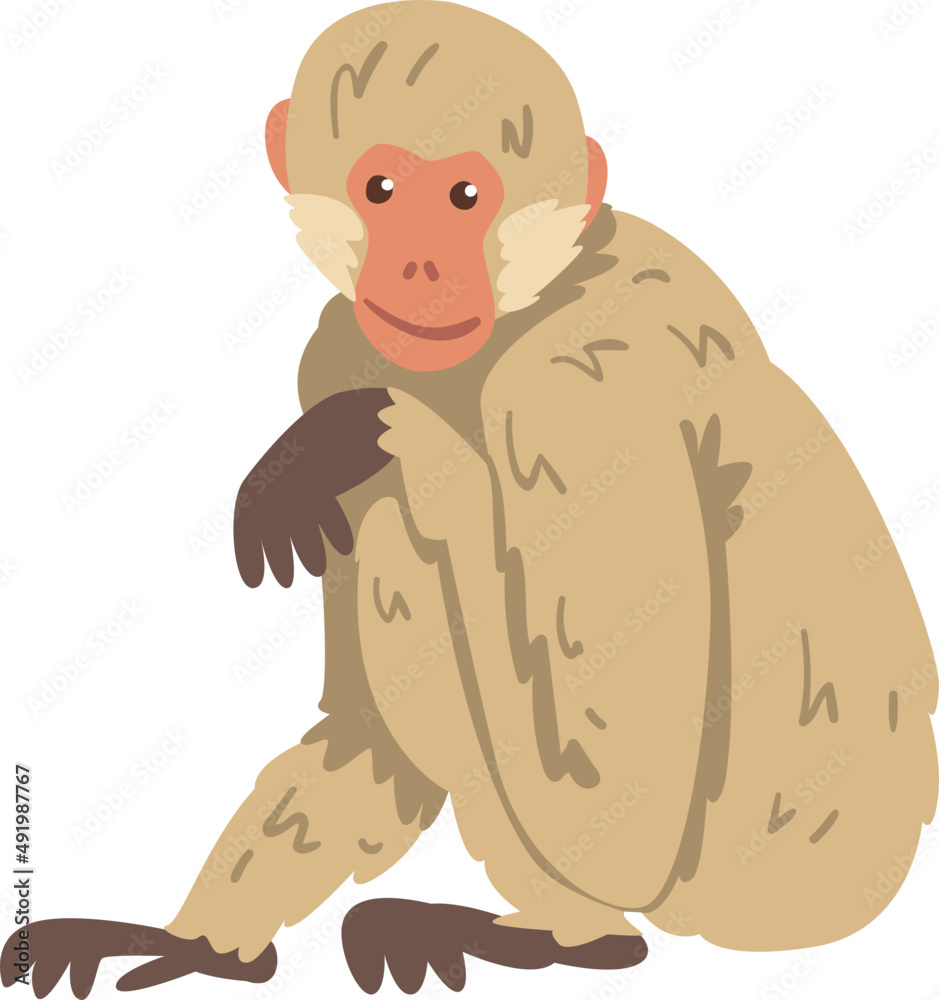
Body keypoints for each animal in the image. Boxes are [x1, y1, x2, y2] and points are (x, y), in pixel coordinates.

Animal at [3, 1, 936, 996]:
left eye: (462, 198)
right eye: (380, 189)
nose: (418, 267)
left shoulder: (574, 387)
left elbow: (620, 794)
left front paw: (366, 431)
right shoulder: (338, 346)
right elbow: (367, 737)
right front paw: (197, 946)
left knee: (408, 544)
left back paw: (574, 939)